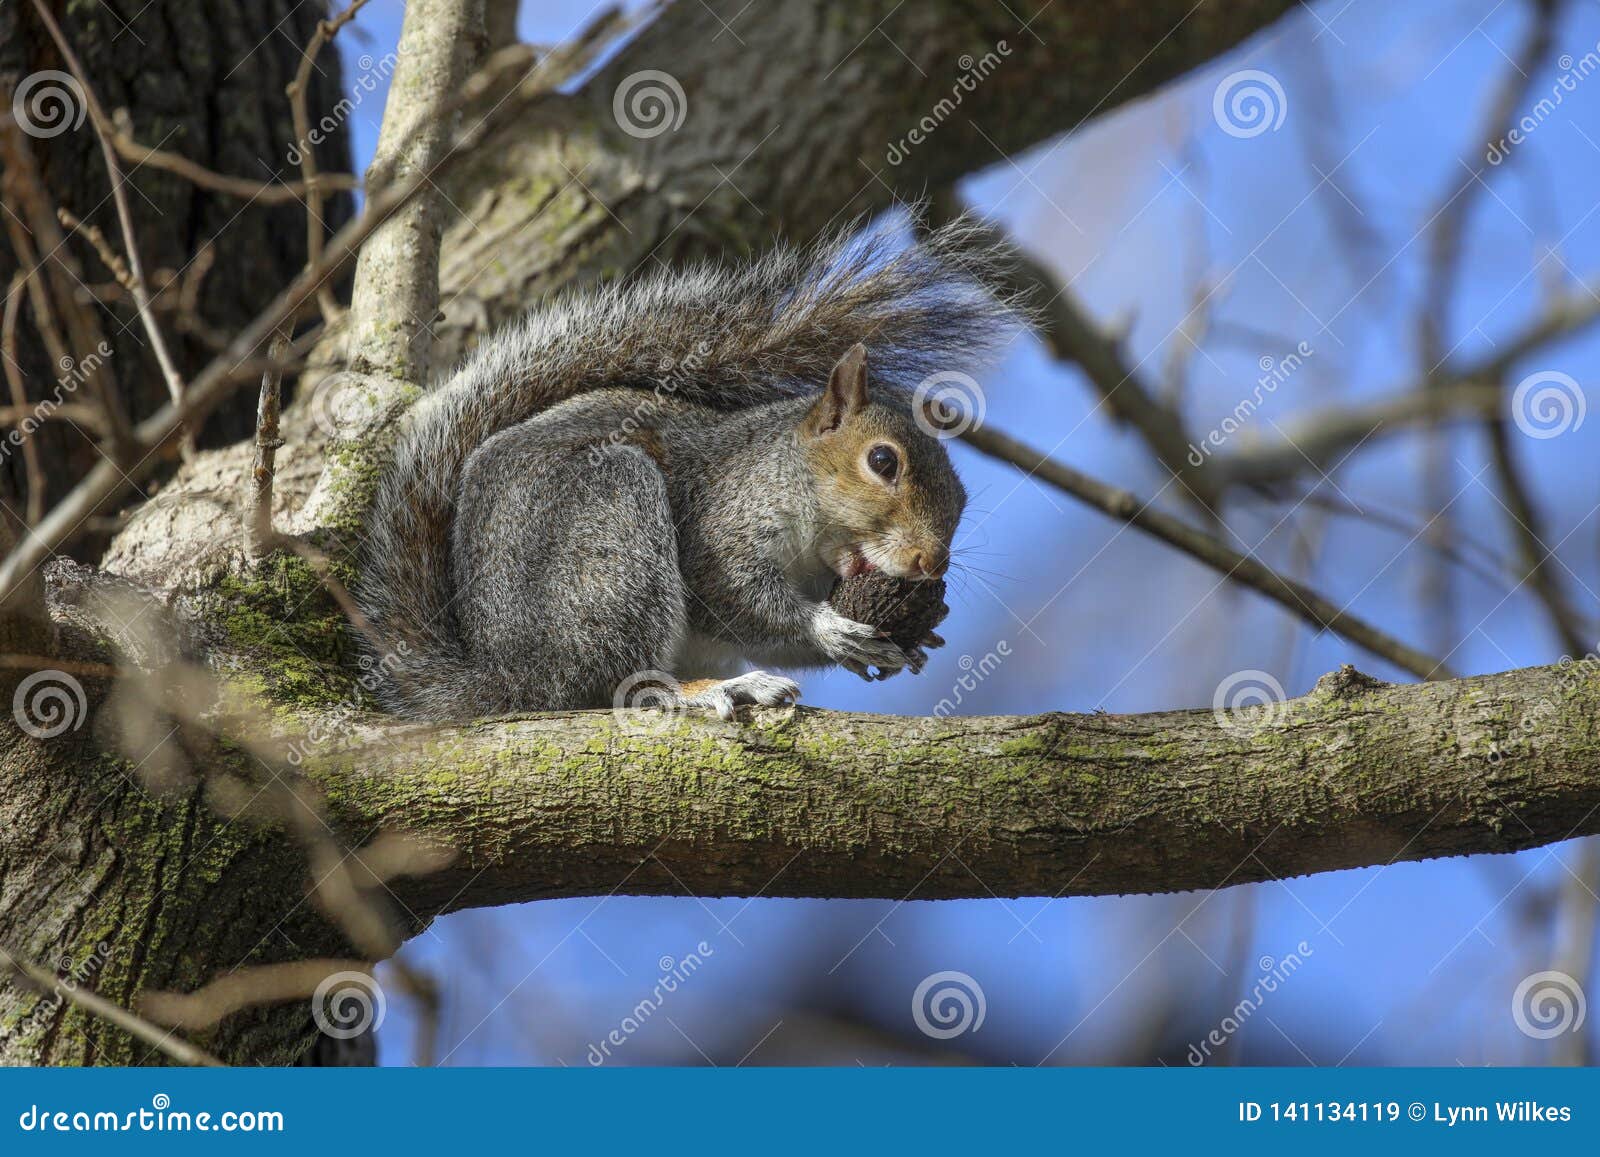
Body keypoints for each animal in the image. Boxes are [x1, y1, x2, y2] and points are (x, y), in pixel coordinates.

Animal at [356, 222, 1012, 721]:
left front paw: (918, 638)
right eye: (882, 461)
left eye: (963, 497)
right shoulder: (722, 520)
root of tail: (511, 680)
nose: (932, 562)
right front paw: (830, 629)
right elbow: (734, 598)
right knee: (622, 688)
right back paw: (713, 690)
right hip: (607, 539)